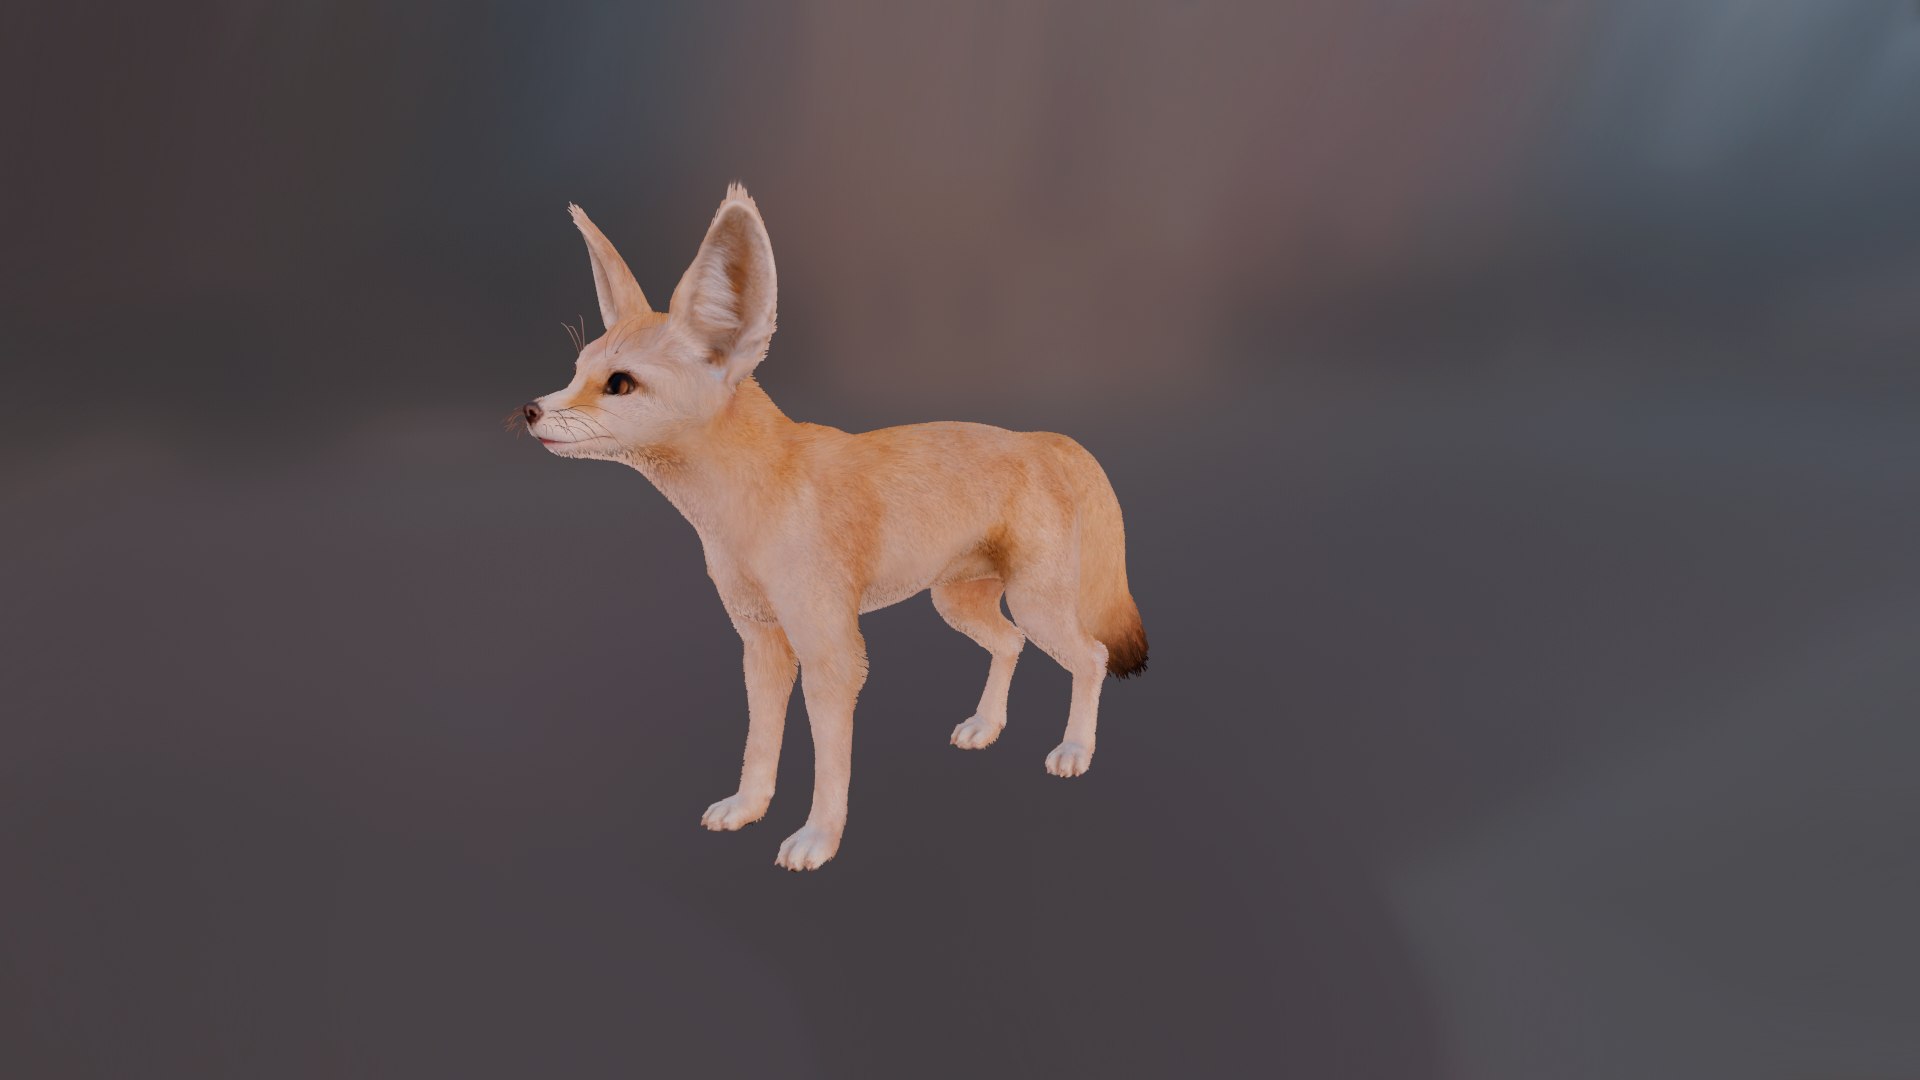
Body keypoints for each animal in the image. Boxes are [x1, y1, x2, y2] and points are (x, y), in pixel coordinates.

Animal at [520, 184, 1147, 870]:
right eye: (576, 370)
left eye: (619, 384)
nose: (529, 410)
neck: (748, 505)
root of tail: (1041, 438)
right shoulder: (761, 643)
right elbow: (760, 744)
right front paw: (748, 808)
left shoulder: (835, 654)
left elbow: (830, 763)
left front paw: (818, 838)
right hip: (957, 603)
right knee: (1009, 643)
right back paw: (986, 726)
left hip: (1037, 604)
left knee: (1090, 655)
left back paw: (1075, 751)